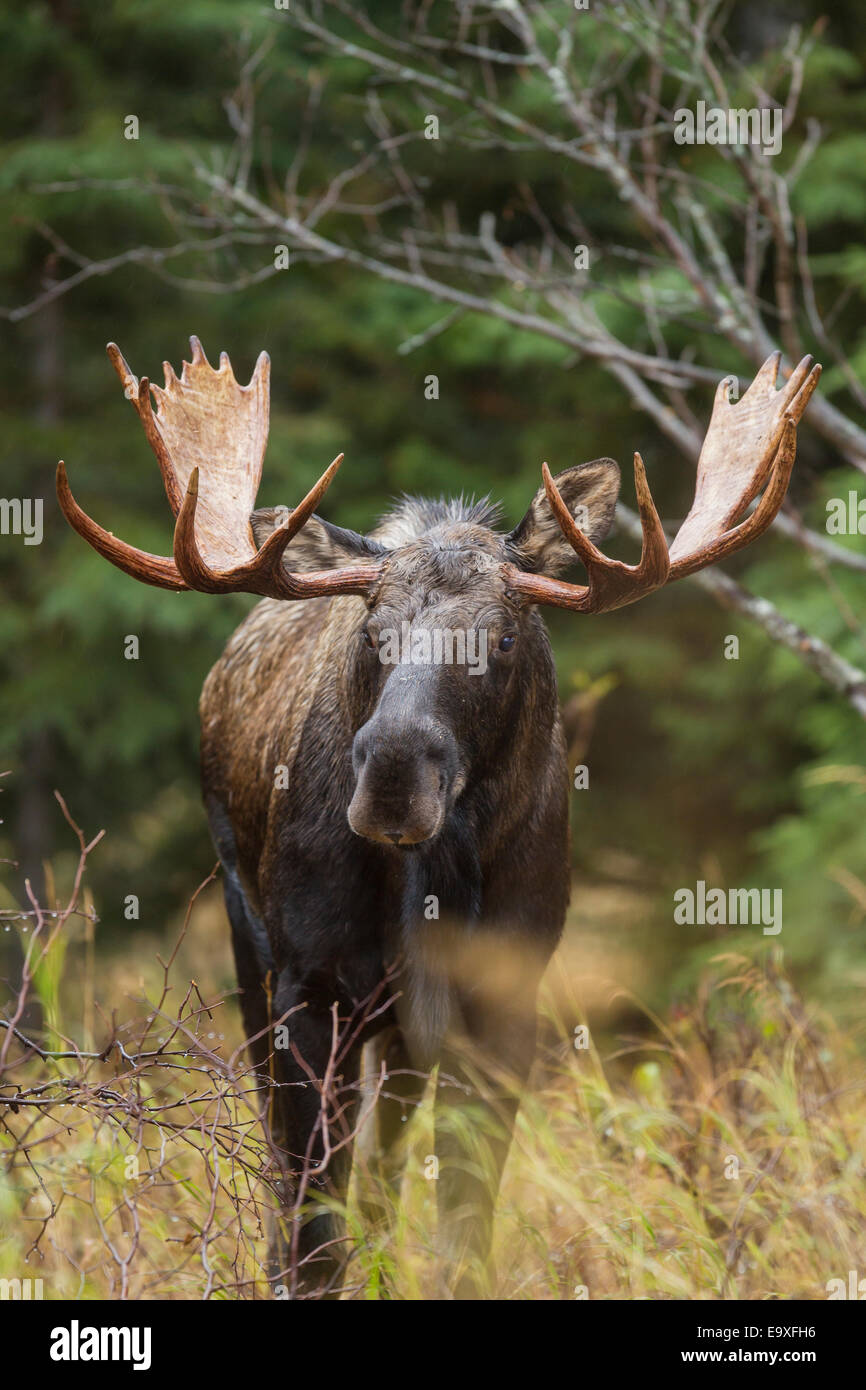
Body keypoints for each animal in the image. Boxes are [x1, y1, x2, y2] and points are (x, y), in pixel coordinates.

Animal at [57, 338, 820, 1298]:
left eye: (503, 636)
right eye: (369, 629)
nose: (392, 777)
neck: (434, 881)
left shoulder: (504, 995)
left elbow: (462, 1228)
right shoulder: (309, 983)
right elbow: (313, 1226)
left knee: (385, 1173)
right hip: (246, 939)